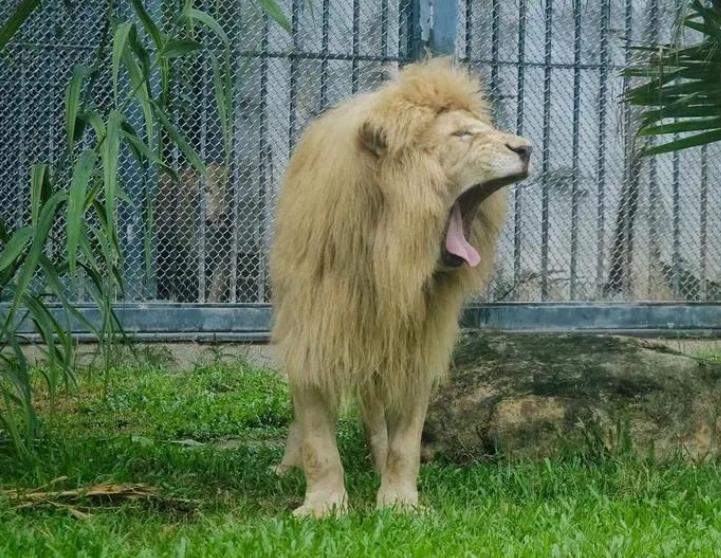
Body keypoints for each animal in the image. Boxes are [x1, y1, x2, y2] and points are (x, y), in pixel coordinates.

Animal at [269, 58, 532, 517]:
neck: (388, 256)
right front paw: (323, 506)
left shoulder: (414, 345)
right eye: (463, 135)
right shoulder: (313, 330)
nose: (527, 149)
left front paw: (399, 504)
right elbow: (317, 436)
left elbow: (405, 441)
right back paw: (287, 466)